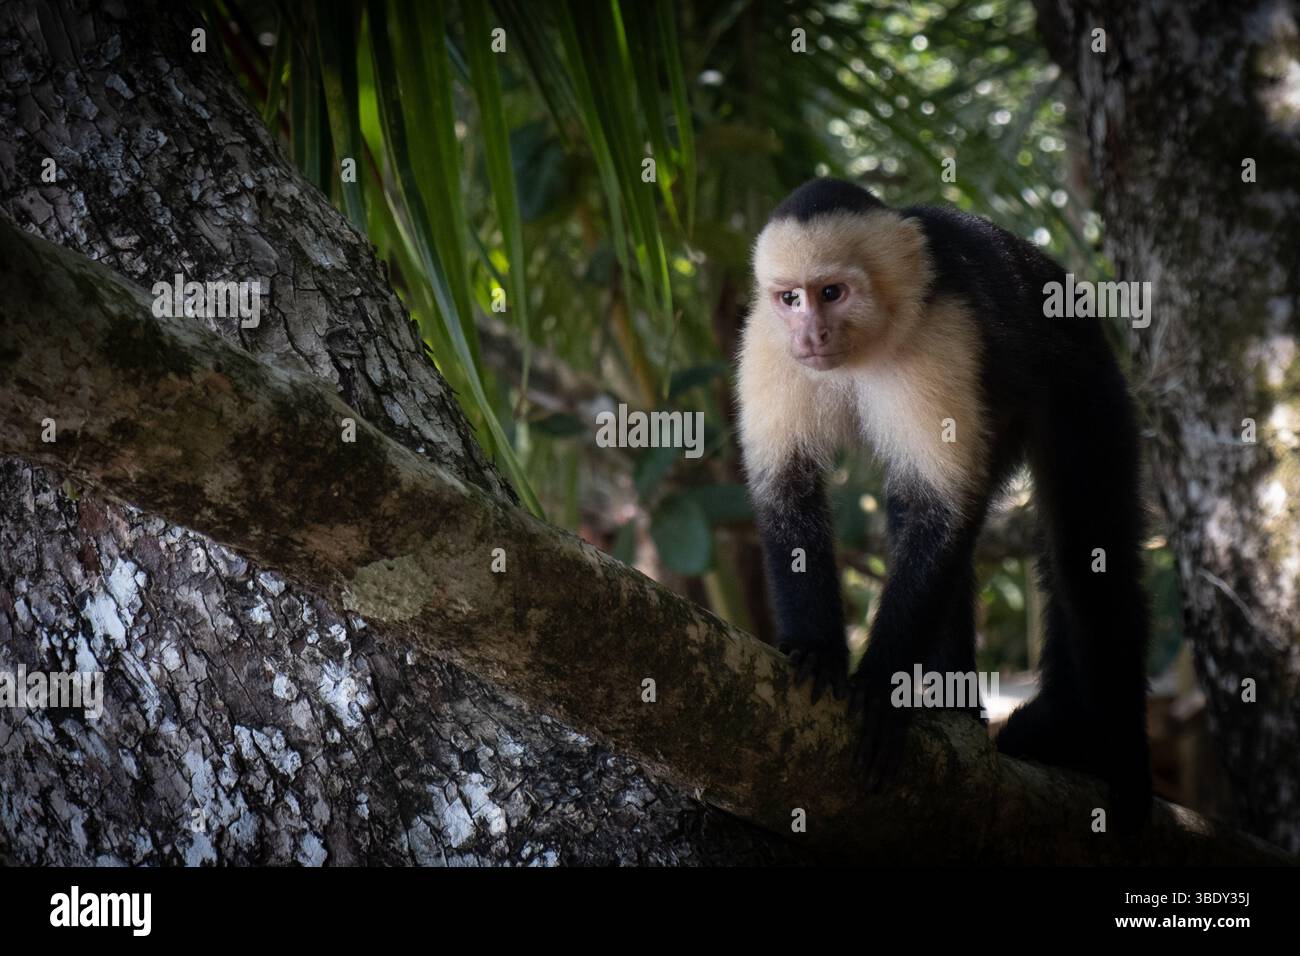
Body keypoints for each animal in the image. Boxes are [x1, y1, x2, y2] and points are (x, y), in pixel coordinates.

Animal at [736, 177, 1151, 831]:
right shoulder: (766, 344)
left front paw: (882, 686)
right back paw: (955, 704)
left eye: (832, 293)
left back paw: (1105, 749)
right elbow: (788, 488)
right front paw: (818, 650)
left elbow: (945, 508)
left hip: (1089, 380)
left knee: (1088, 551)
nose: (809, 335)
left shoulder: (945, 333)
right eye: (790, 298)